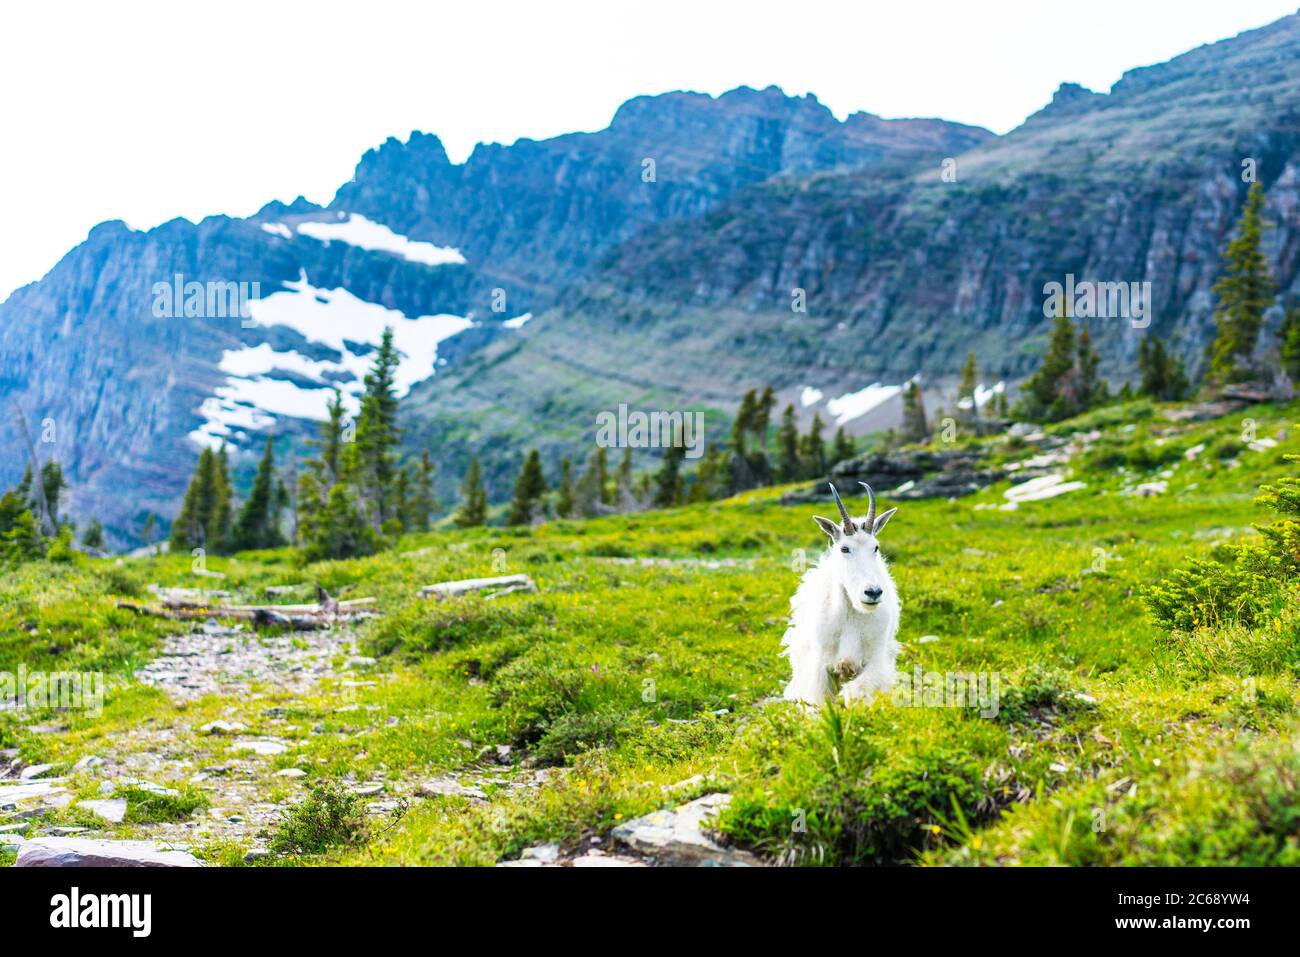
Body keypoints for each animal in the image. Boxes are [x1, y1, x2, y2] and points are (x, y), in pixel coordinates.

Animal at [782, 482, 900, 706]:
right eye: (844, 548)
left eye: (876, 547)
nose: (873, 592)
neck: (851, 615)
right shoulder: (821, 667)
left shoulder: (875, 661)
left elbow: (857, 692)